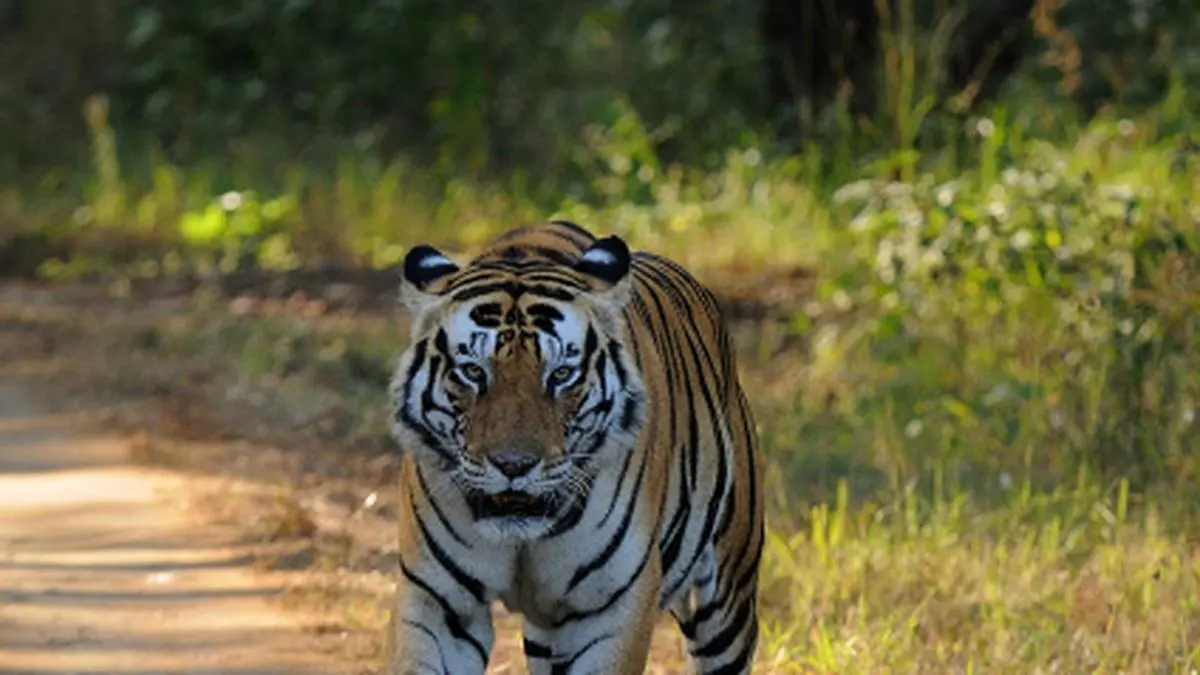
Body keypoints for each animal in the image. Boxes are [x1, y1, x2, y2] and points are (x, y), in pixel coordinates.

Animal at [386, 220, 764, 674]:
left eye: (561, 374)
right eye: (473, 372)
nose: (514, 465)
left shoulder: (608, 607)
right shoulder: (438, 603)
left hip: (727, 598)